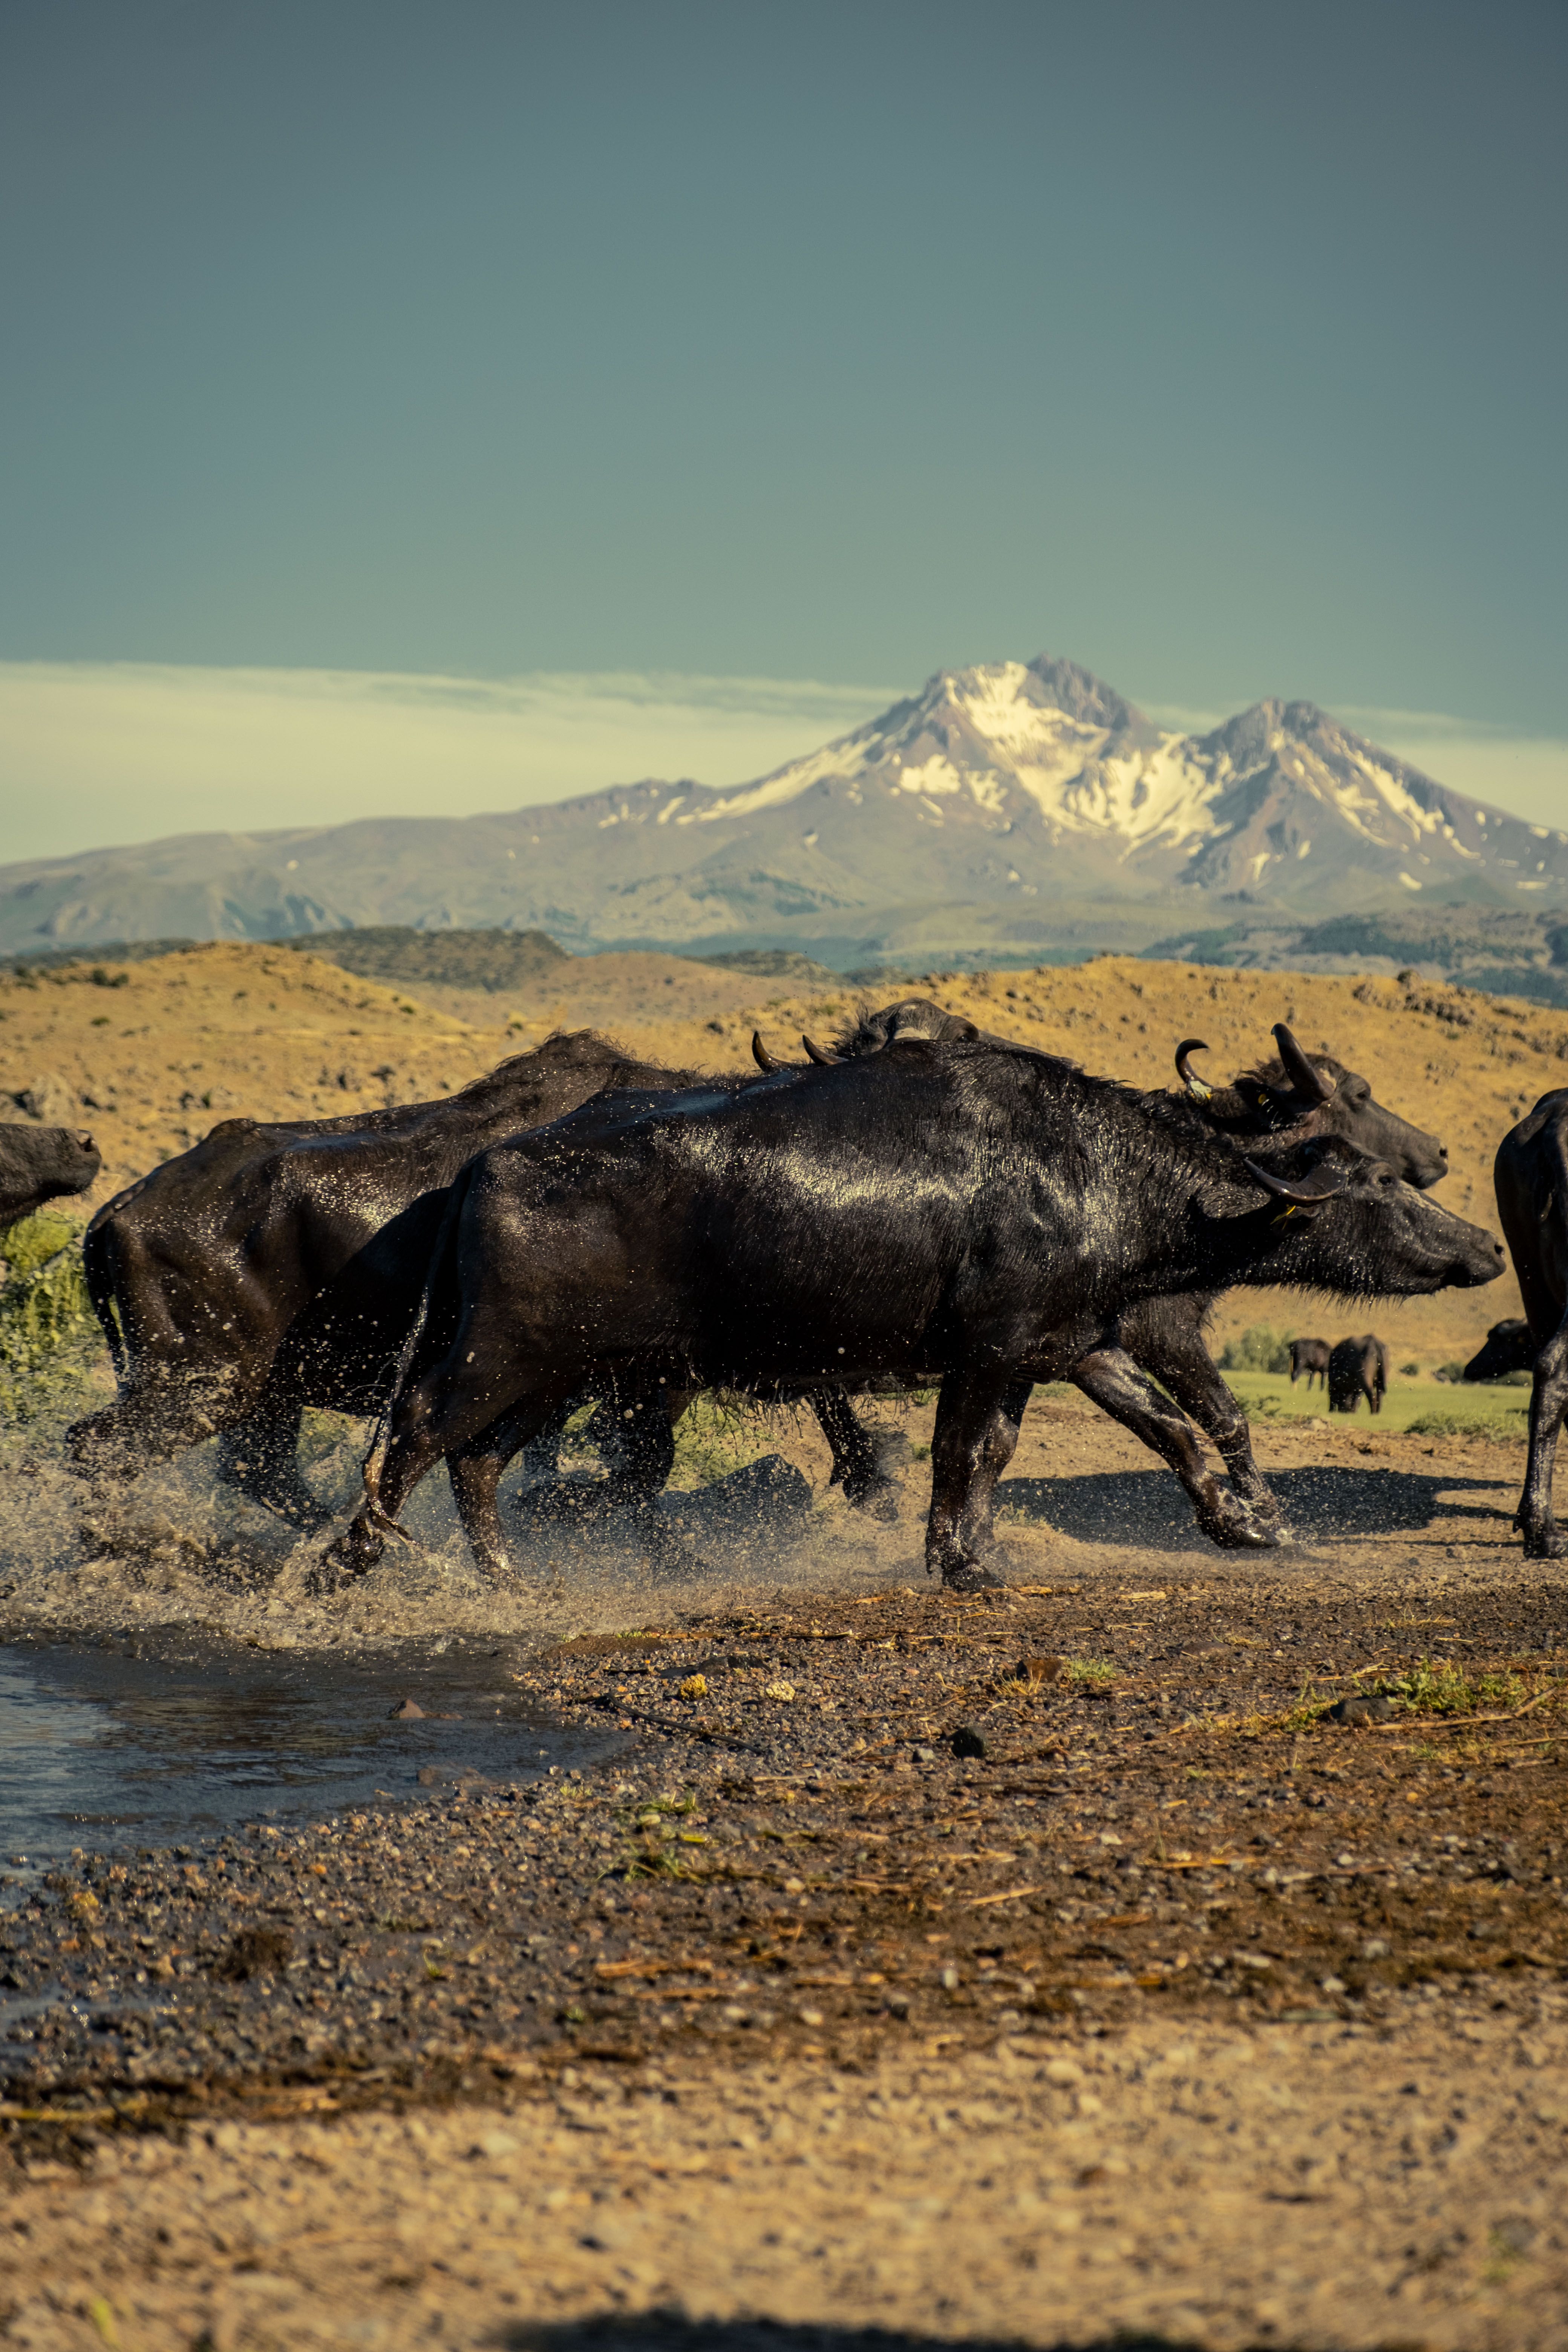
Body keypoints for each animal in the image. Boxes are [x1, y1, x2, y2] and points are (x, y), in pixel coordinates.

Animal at [1289, 1338, 1331, 1389]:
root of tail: (1295, 1344)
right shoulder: (1324, 1370)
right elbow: (1322, 1382)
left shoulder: (1314, 1369)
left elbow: (1311, 1381)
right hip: (1300, 1364)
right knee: (1295, 1374)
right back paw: (1294, 1389)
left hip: (1294, 1363)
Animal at [1328, 1335, 1389, 1415]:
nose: (1345, 1411)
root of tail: (1376, 1345)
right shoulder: (1358, 1387)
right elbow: (1356, 1399)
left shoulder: (1332, 1383)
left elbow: (1332, 1397)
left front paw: (1331, 1410)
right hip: (1381, 1380)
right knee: (1380, 1395)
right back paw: (1377, 1412)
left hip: (1367, 1381)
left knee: (1373, 1396)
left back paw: (1372, 1413)